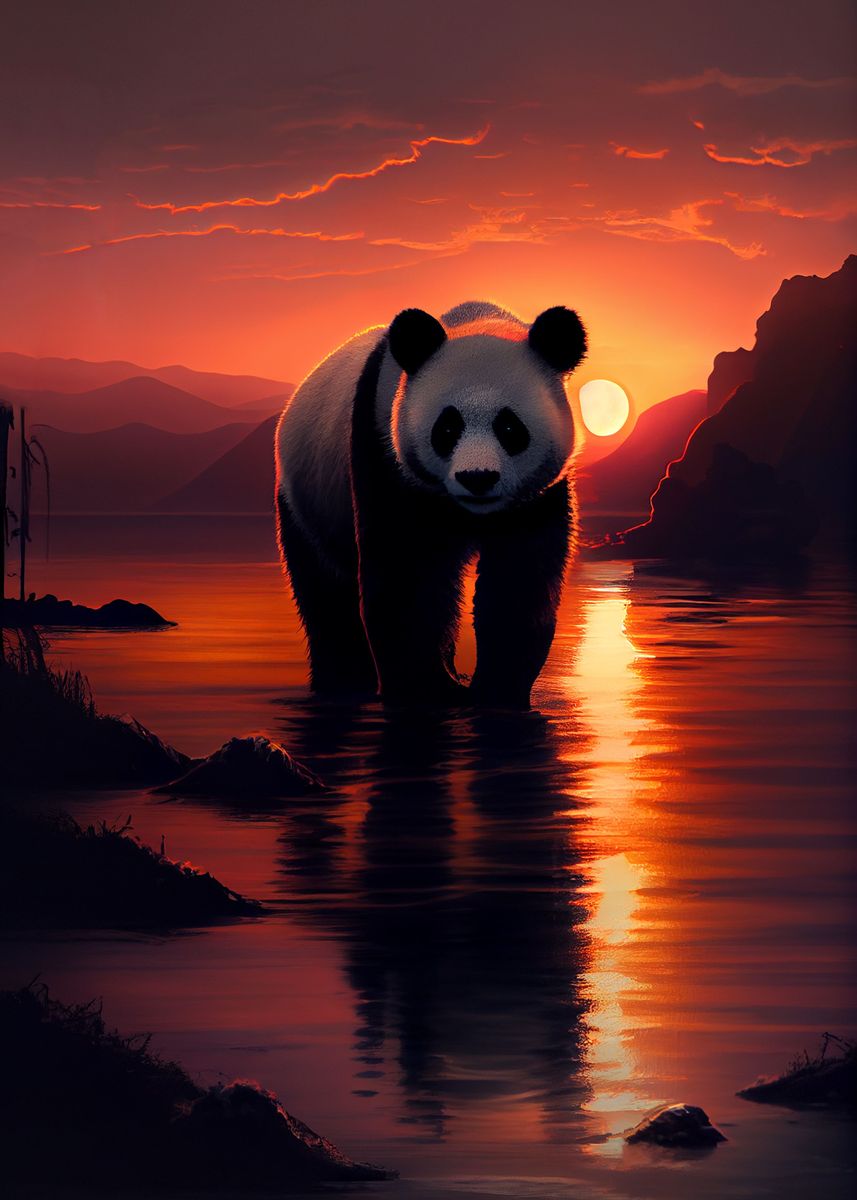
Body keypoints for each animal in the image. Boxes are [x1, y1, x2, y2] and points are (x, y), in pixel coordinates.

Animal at [275, 299, 587, 707]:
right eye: (448, 428)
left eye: (509, 427)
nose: (477, 477)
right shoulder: (385, 455)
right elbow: (407, 576)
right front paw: (427, 690)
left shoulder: (537, 497)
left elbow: (519, 579)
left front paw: (494, 690)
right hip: (309, 499)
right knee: (325, 594)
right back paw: (344, 684)